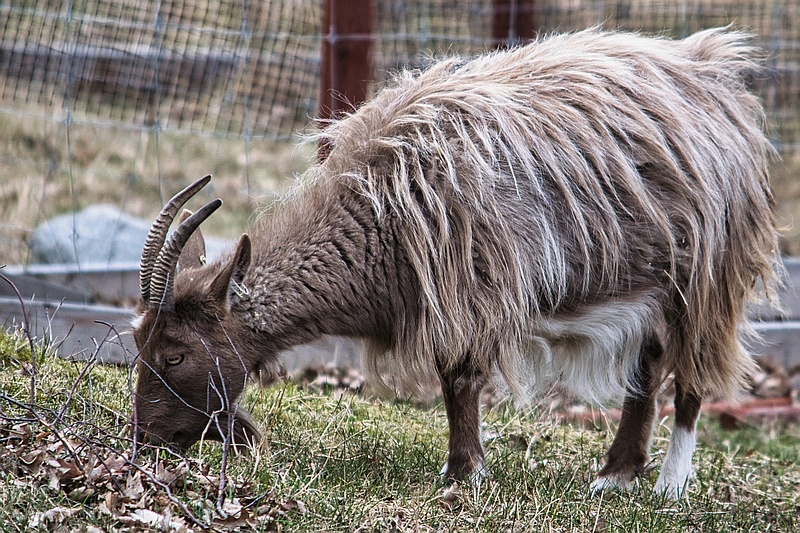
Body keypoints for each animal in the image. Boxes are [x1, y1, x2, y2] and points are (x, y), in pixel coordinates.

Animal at [132, 27, 780, 498]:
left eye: (174, 353)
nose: (145, 445)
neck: (380, 207)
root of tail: (719, 78)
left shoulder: (470, 287)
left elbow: (459, 378)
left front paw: (462, 473)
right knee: (648, 361)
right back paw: (616, 473)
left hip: (709, 275)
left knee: (693, 371)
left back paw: (669, 484)